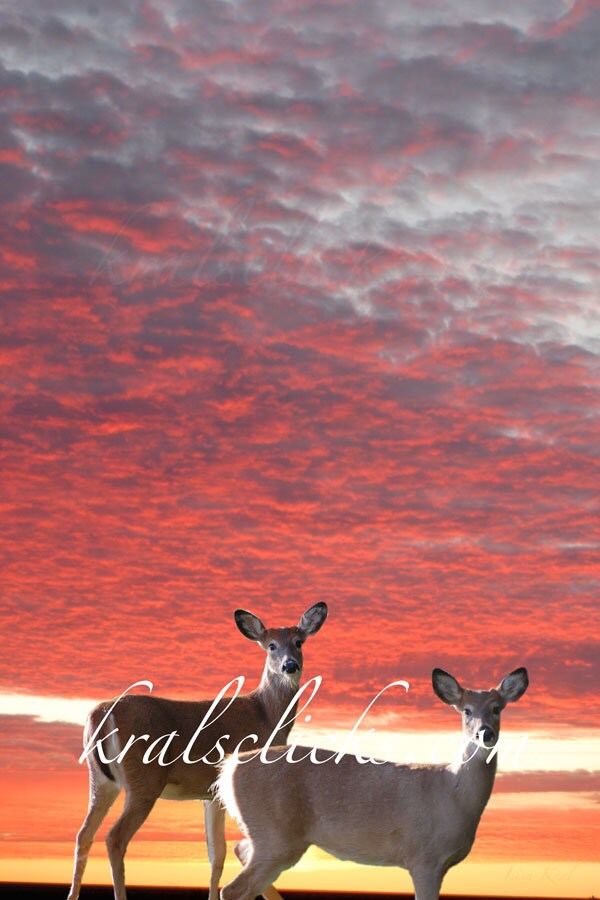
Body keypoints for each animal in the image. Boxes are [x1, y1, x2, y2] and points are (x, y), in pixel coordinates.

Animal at [67, 601, 328, 900]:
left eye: (299, 642)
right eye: (271, 645)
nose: (290, 665)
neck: (265, 716)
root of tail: (100, 713)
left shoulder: (210, 795)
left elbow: (216, 855)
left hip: (101, 780)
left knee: (84, 834)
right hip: (144, 779)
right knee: (114, 837)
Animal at [217, 666, 529, 900]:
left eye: (497, 708)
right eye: (466, 710)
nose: (485, 733)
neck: (455, 793)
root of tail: (229, 768)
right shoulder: (424, 857)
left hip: (266, 834)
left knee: (241, 852)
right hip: (275, 834)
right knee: (233, 889)